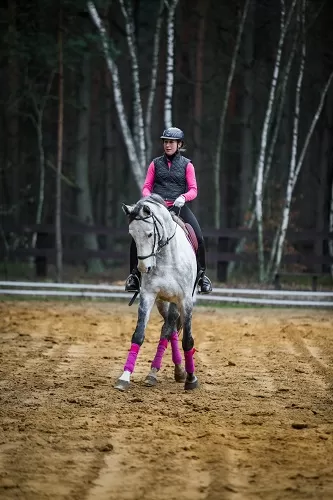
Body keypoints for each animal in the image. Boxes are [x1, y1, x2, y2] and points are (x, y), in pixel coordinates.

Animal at [114, 193, 198, 392]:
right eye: (132, 235)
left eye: (150, 234)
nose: (144, 268)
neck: (167, 256)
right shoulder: (148, 296)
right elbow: (138, 335)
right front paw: (124, 377)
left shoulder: (185, 300)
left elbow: (187, 340)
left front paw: (191, 379)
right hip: (163, 301)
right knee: (169, 329)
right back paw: (163, 372)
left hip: (177, 301)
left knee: (169, 328)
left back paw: (178, 373)